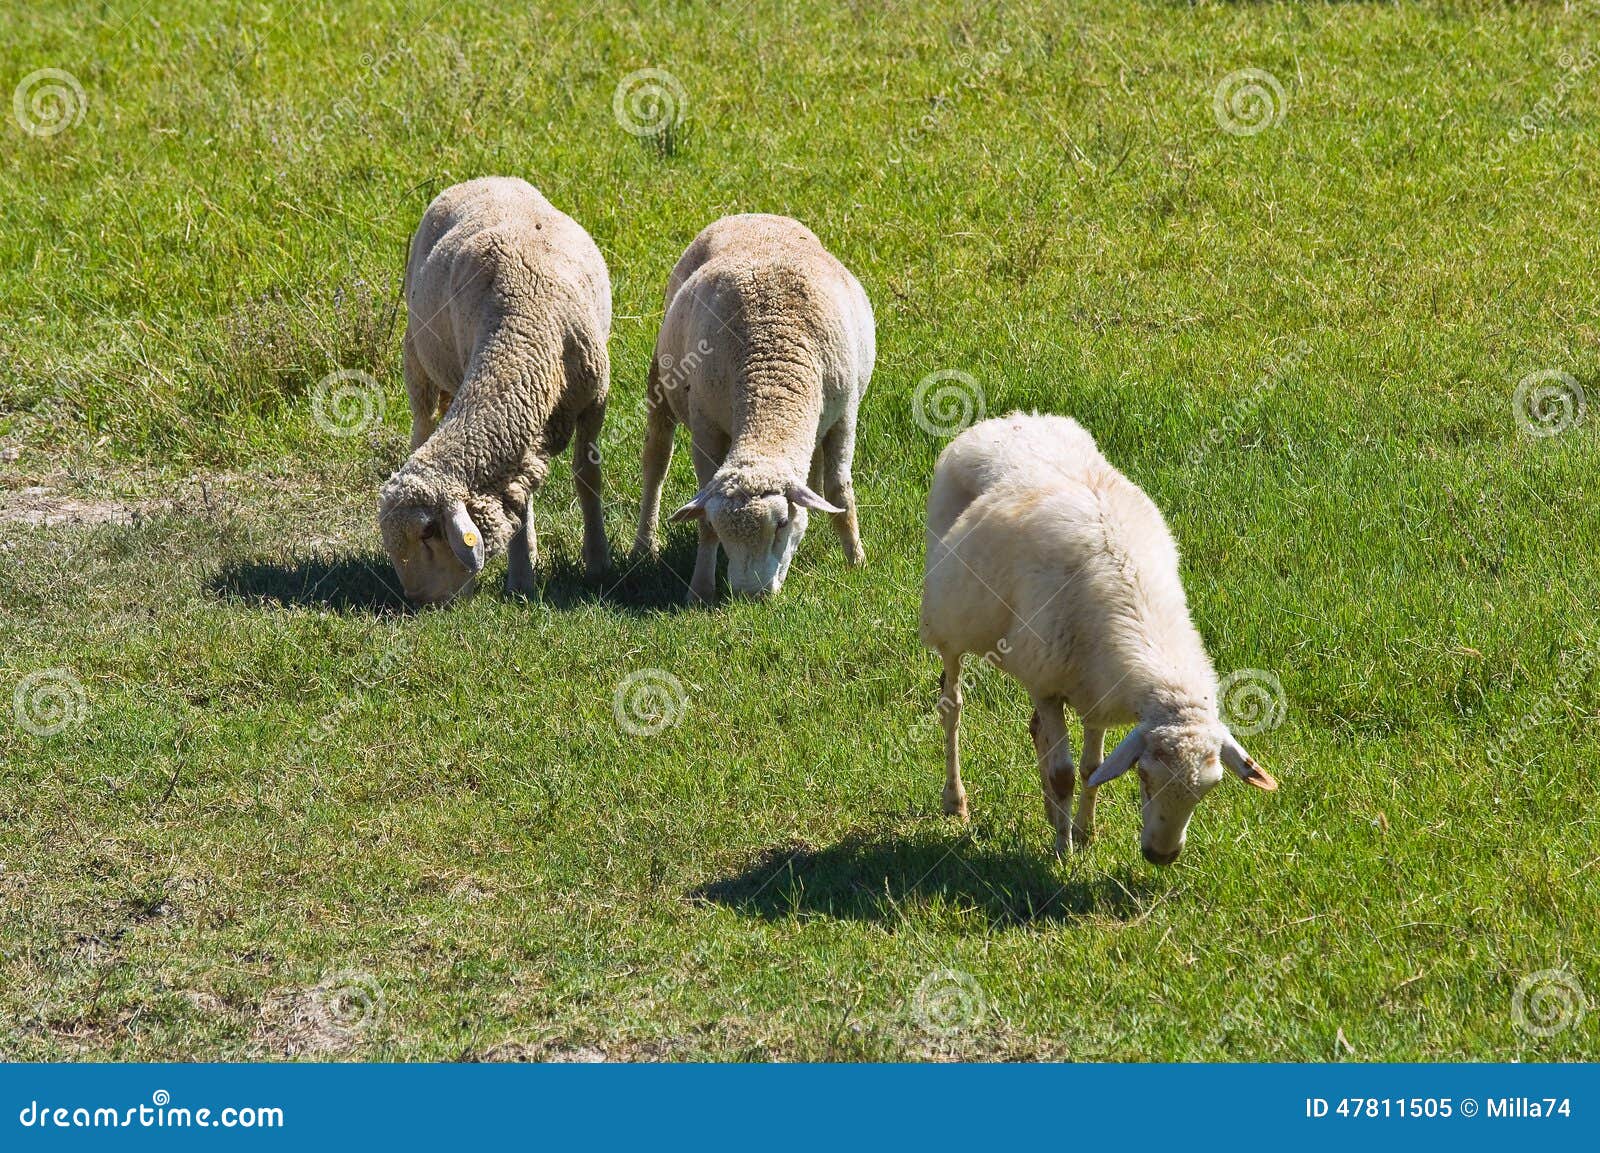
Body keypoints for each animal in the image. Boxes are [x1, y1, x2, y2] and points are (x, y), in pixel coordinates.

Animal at [379, 177, 611, 605]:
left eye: (429, 531)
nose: (418, 602)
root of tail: (481, 179)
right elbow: (517, 500)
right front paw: (521, 578)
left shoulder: (594, 401)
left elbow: (587, 477)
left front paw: (598, 561)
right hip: (419, 357)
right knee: (423, 425)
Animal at [632, 214, 875, 602]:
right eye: (722, 529)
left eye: (782, 523)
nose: (751, 595)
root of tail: (752, 215)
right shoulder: (706, 426)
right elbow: (702, 519)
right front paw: (700, 590)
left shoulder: (844, 414)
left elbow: (840, 490)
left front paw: (856, 561)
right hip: (661, 377)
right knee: (656, 459)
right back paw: (644, 545)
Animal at [919, 412, 1277, 864]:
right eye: (1145, 777)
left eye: (1208, 790)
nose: (1161, 856)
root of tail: (1010, 419)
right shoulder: (1047, 686)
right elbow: (1064, 775)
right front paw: (1064, 851)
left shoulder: (1097, 693)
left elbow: (1093, 771)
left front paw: (1083, 833)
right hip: (949, 622)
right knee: (952, 707)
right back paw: (955, 800)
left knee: (1035, 731)